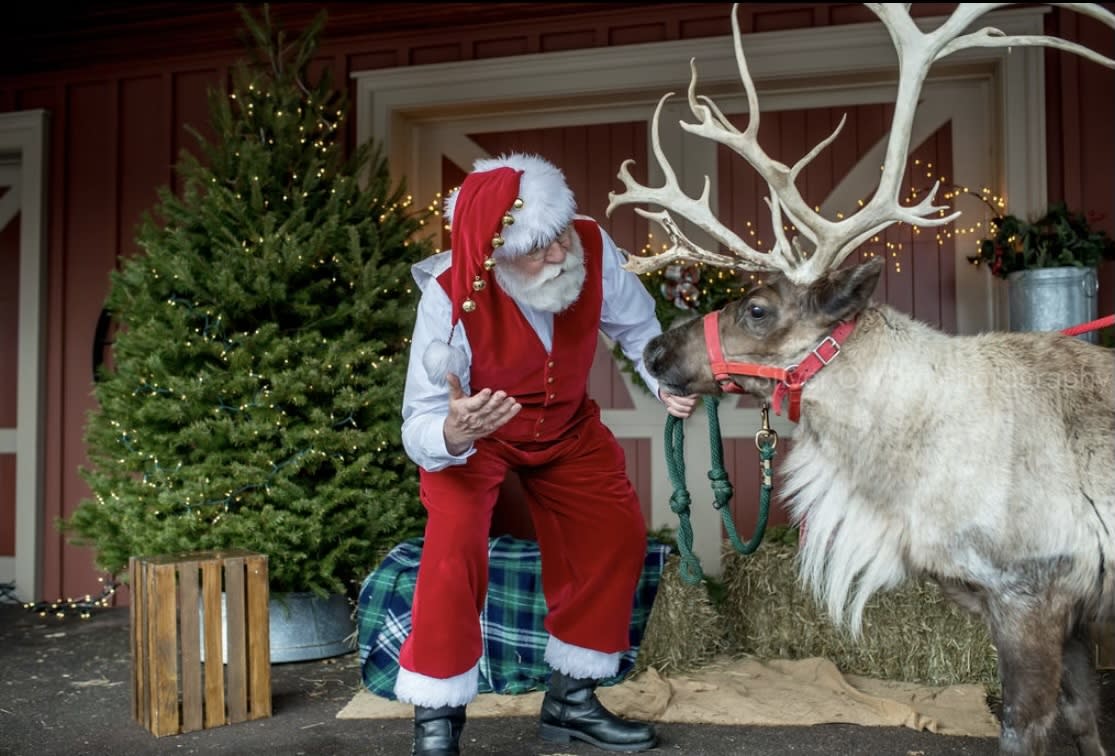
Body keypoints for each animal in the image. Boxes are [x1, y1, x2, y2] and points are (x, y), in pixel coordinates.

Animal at [607, 4, 1115, 756]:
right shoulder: (1074, 607)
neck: (903, 467)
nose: (655, 349)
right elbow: (1084, 717)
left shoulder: (1031, 591)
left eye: (757, 309)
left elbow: (1027, 726)